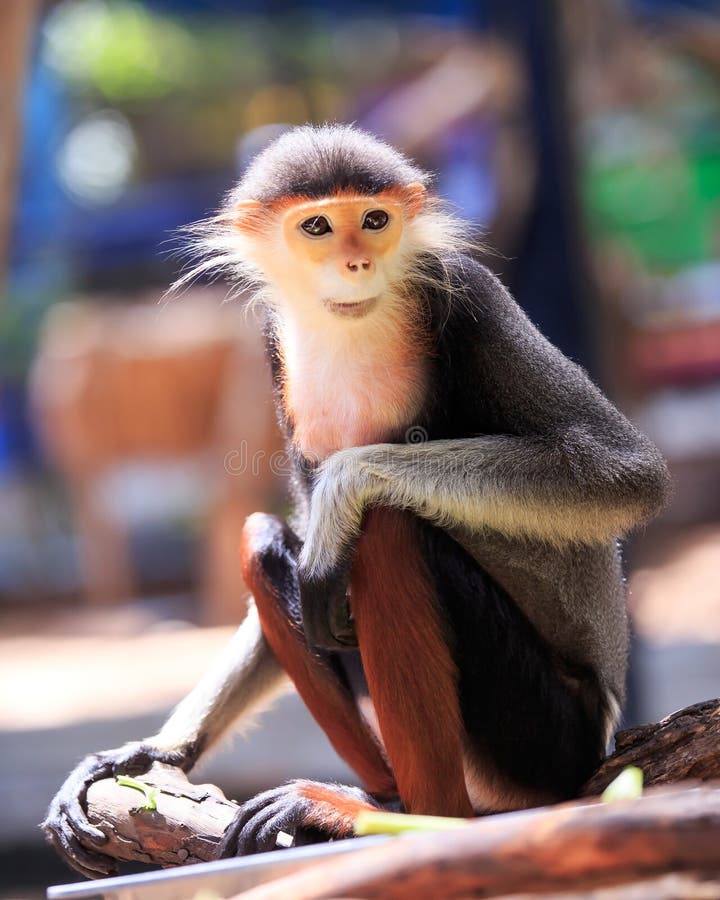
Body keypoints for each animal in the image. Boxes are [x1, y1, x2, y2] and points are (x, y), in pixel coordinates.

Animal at [43, 124, 670, 879]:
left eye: (374, 221)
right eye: (317, 226)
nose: (356, 262)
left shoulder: (471, 297)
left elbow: (624, 471)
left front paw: (348, 483)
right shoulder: (271, 348)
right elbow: (298, 527)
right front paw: (158, 750)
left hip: (542, 738)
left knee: (390, 529)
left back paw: (420, 818)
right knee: (265, 540)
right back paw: (381, 799)